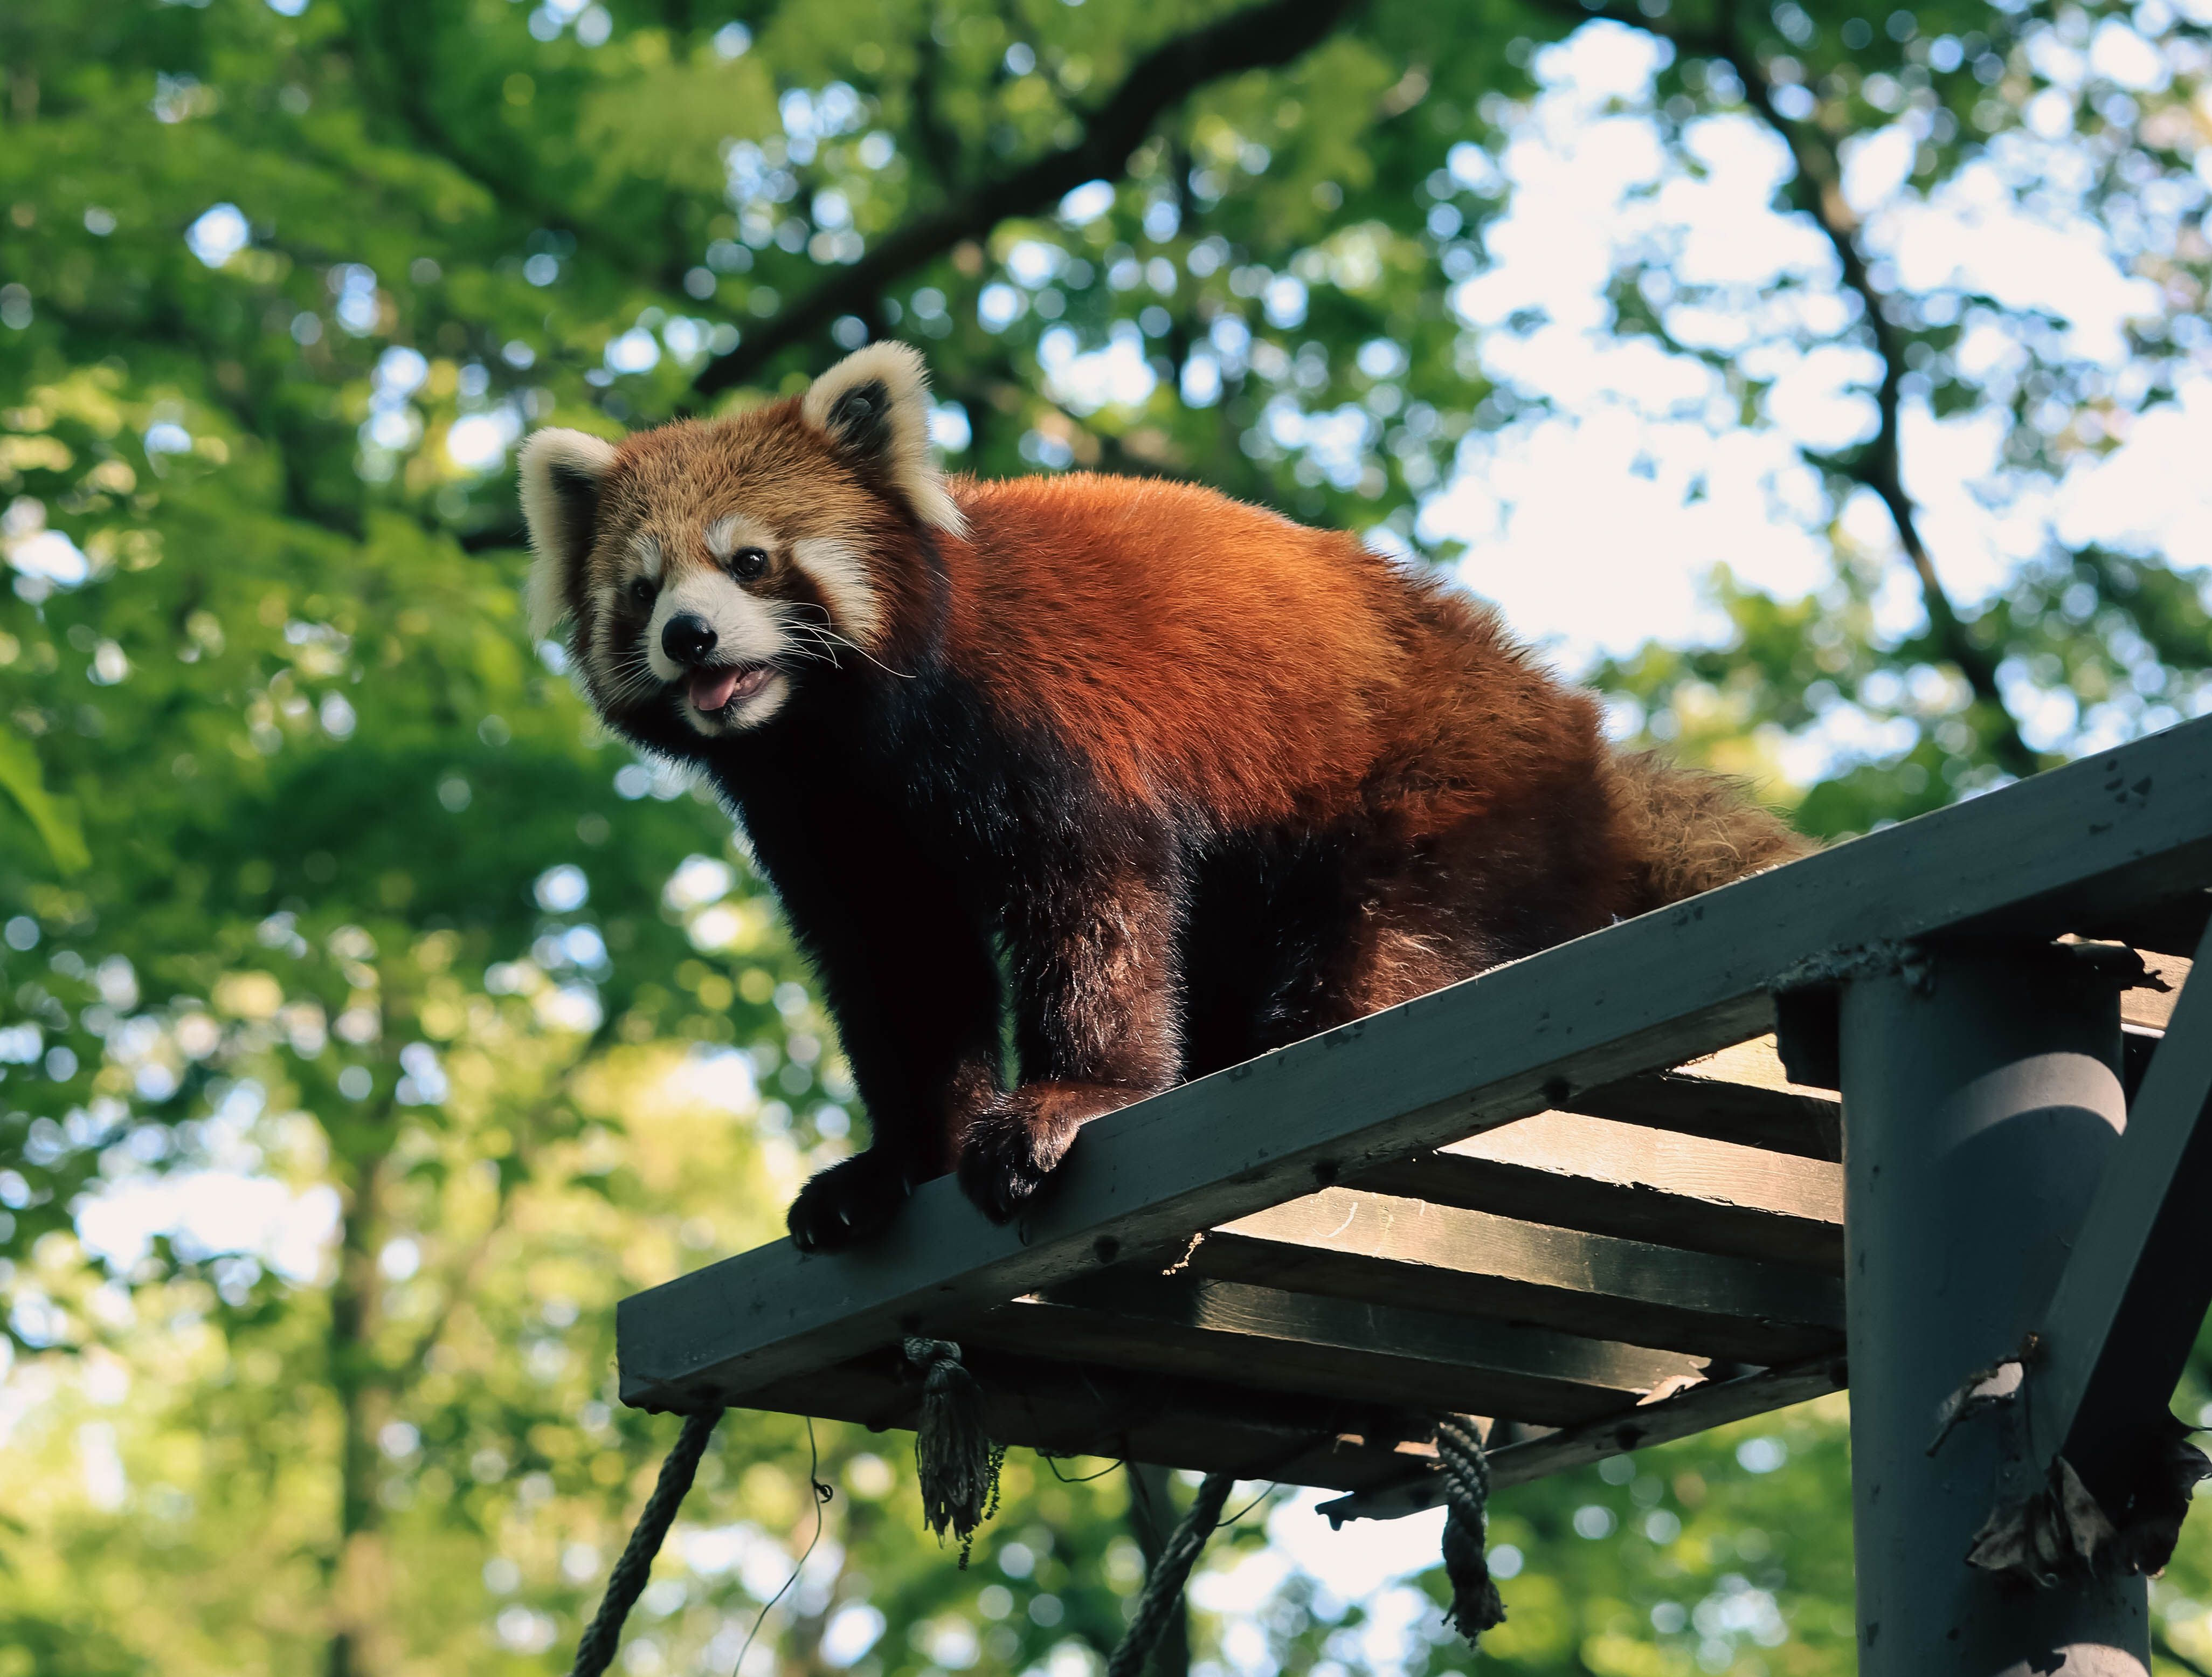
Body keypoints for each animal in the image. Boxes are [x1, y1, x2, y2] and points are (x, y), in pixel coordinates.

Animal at [518, 343, 1807, 1251]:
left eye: (749, 562)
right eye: (643, 589)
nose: (690, 638)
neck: (845, 738)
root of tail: (1584, 747)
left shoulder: (1044, 723)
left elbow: (1096, 898)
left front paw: (1068, 1100)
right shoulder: (834, 823)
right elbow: (901, 970)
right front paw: (895, 1166)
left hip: (1448, 792)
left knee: (1390, 947)